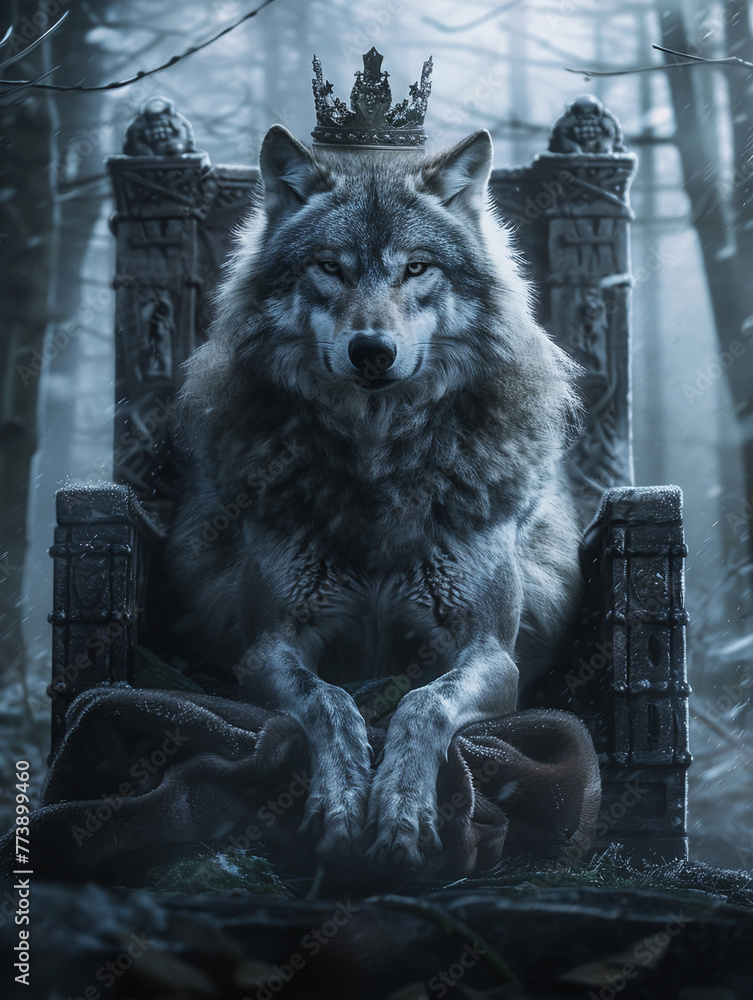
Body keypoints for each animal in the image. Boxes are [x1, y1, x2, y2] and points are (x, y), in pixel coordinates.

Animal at [166, 124, 582, 868]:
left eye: (416, 269)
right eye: (329, 268)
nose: (371, 351)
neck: (377, 465)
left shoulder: (491, 654)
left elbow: (423, 705)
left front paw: (399, 814)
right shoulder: (266, 648)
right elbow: (329, 703)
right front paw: (340, 807)